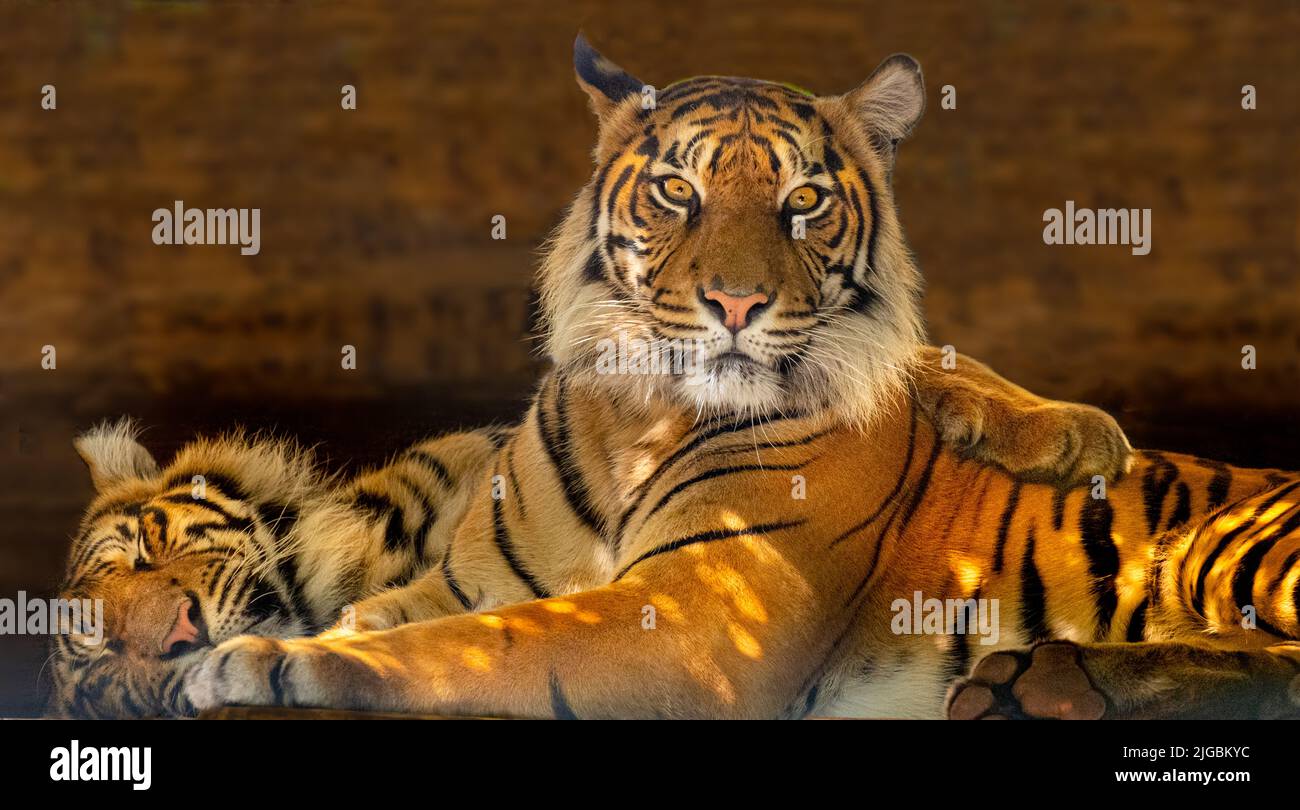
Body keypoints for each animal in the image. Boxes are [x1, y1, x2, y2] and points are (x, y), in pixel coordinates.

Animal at [52, 35, 1300, 720]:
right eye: (676, 193)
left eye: (803, 199)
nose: (735, 306)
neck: (636, 420)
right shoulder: (456, 576)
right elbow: (414, 615)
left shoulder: (694, 617)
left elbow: (483, 649)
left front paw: (266, 663)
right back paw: (1038, 681)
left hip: (1236, 549)